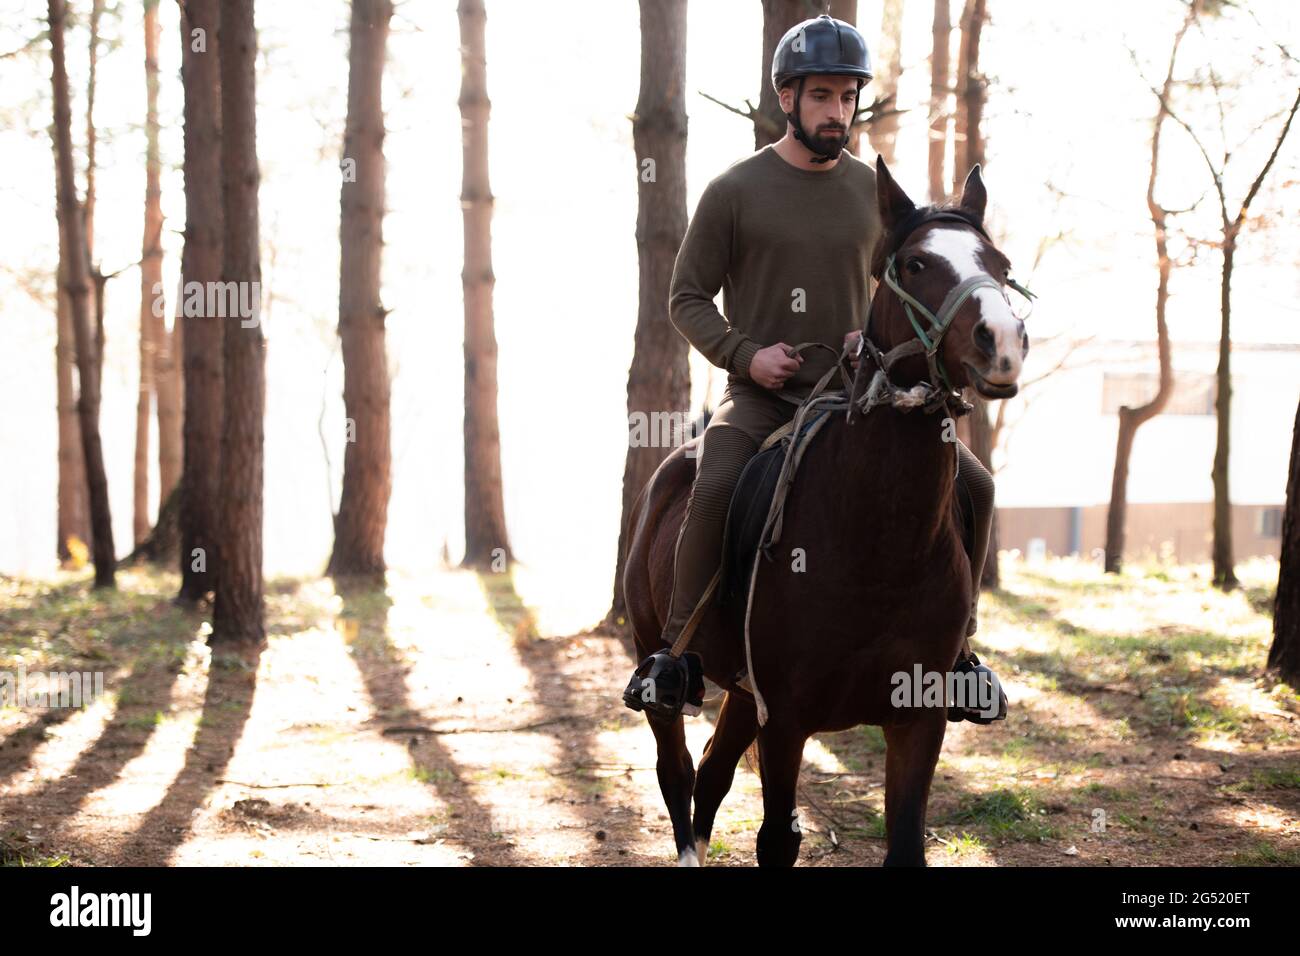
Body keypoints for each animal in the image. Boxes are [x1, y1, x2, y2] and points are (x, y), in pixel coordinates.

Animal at [621, 157, 1029, 866]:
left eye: (1000, 264)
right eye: (915, 264)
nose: (1001, 342)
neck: (879, 545)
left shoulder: (916, 717)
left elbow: (905, 845)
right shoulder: (786, 720)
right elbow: (776, 840)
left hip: (742, 692)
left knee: (712, 772)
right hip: (662, 664)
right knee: (677, 772)